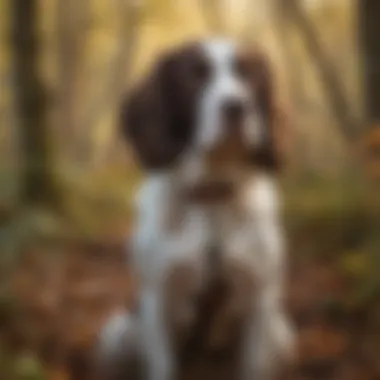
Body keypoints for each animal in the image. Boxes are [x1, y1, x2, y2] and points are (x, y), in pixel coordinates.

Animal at [96, 36, 296, 380]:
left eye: (249, 75)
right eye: (194, 76)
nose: (237, 107)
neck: (210, 198)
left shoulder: (259, 295)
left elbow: (253, 365)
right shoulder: (157, 298)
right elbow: (163, 366)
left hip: (281, 332)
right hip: (119, 332)